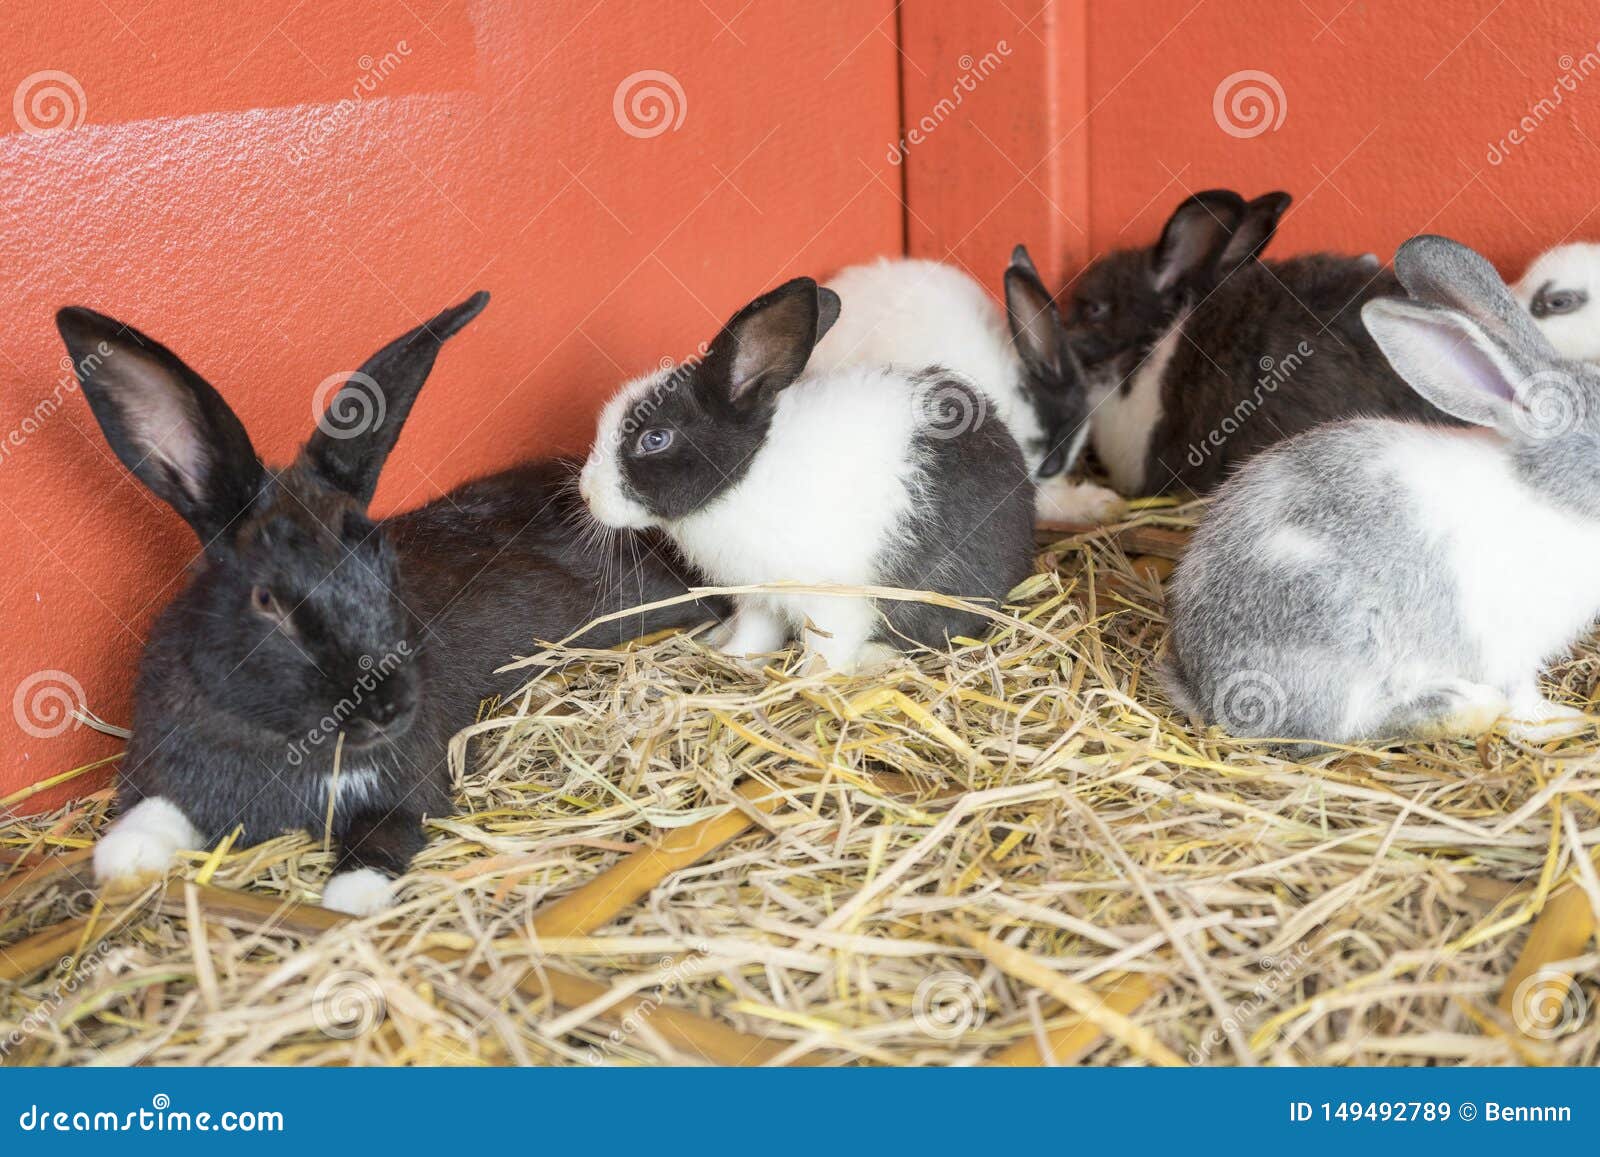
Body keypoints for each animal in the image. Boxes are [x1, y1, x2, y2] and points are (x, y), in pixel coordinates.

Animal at [62, 293, 719, 915]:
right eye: (267, 599)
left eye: (385, 567)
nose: (387, 710)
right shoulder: (167, 769)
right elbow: (151, 816)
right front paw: (121, 863)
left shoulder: (407, 787)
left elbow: (377, 845)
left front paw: (350, 902)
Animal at [578, 276, 1036, 675]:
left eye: (654, 438)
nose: (586, 493)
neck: (748, 475)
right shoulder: (759, 598)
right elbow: (755, 634)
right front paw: (734, 659)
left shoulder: (834, 601)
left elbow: (827, 648)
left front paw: (812, 680)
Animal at [1164, 233, 1599, 752]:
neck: (1548, 491)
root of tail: (1200, 686)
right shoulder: (1507, 644)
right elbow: (1522, 697)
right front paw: (1562, 721)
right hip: (1342, 649)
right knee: (1347, 728)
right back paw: (1465, 705)